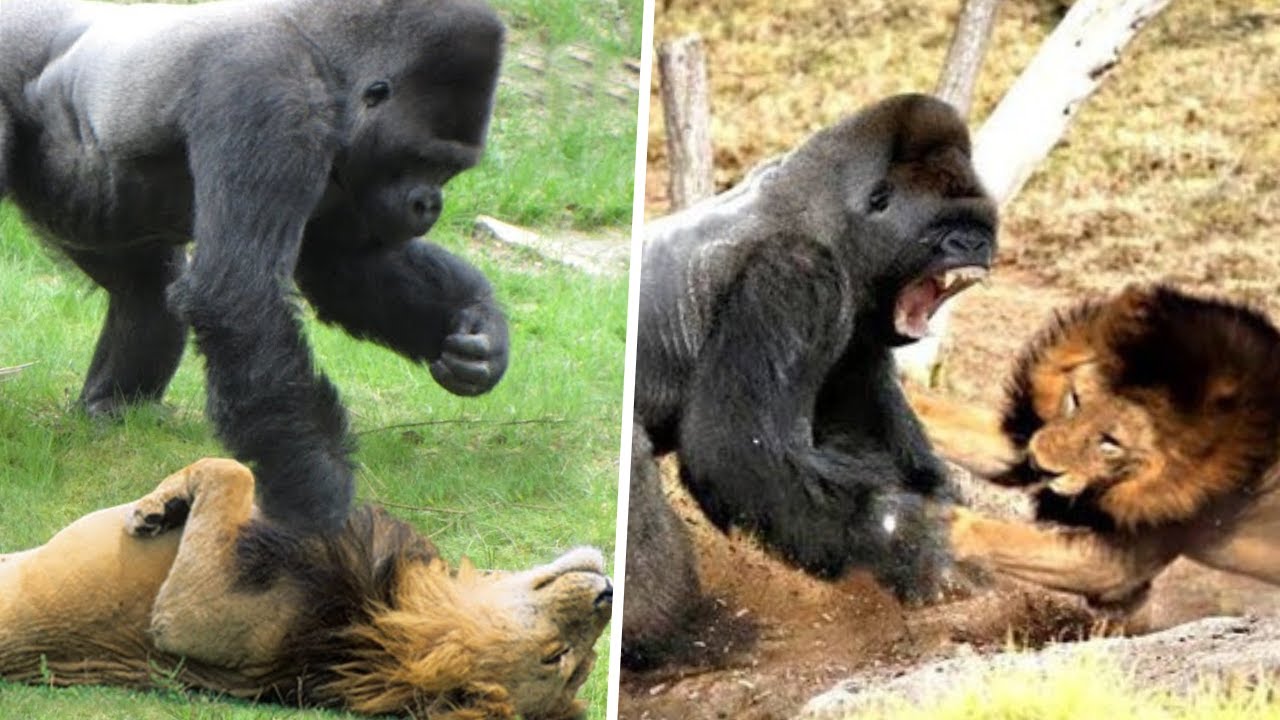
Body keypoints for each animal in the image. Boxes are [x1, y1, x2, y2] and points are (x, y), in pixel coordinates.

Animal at [0, 458, 613, 719]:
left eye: (557, 658)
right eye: (573, 664)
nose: (607, 597)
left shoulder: (193, 620)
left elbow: (232, 469)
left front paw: (158, 507)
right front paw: (163, 503)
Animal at [908, 285, 1280, 608]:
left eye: (1110, 443)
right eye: (1075, 400)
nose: (1041, 465)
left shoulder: (1120, 561)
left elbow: (996, 534)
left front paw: (928, 518)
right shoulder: (1027, 443)